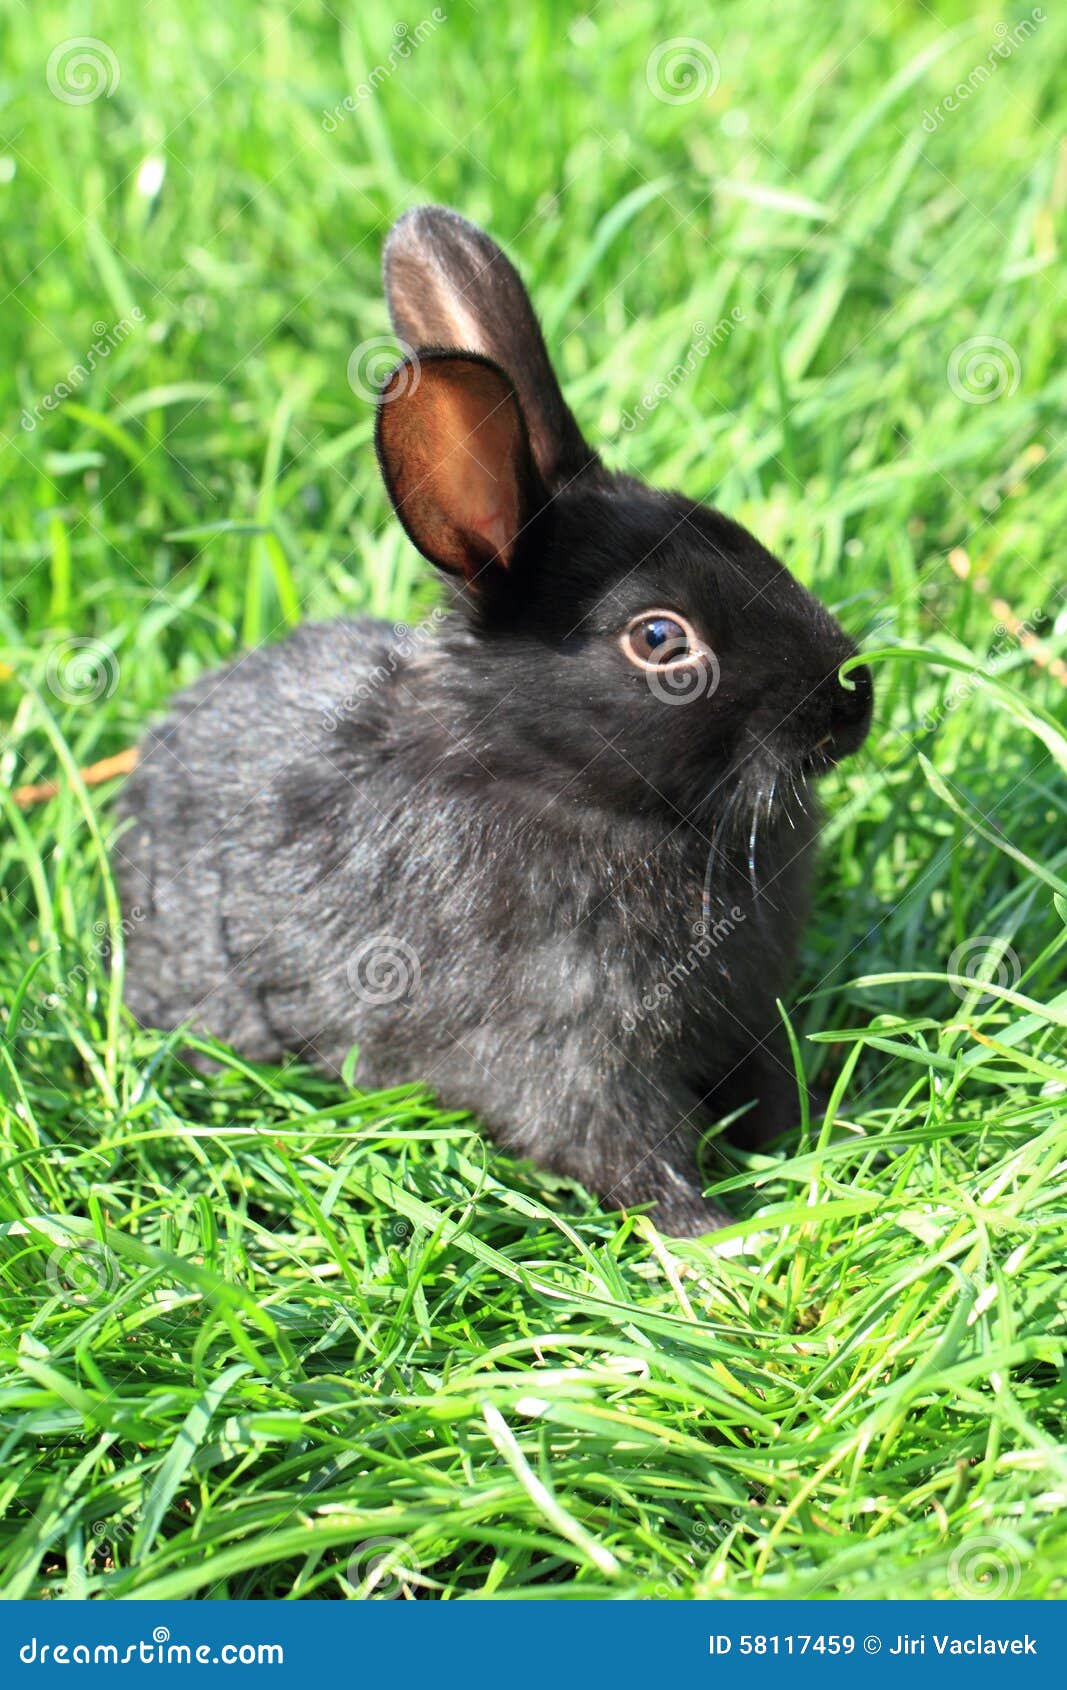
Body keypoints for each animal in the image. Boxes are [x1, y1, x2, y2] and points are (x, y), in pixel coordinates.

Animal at [114, 205, 872, 1239]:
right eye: (660, 638)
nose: (851, 701)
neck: (561, 783)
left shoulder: (748, 1017)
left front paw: (809, 1149)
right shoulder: (568, 1052)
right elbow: (624, 1147)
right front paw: (716, 1238)